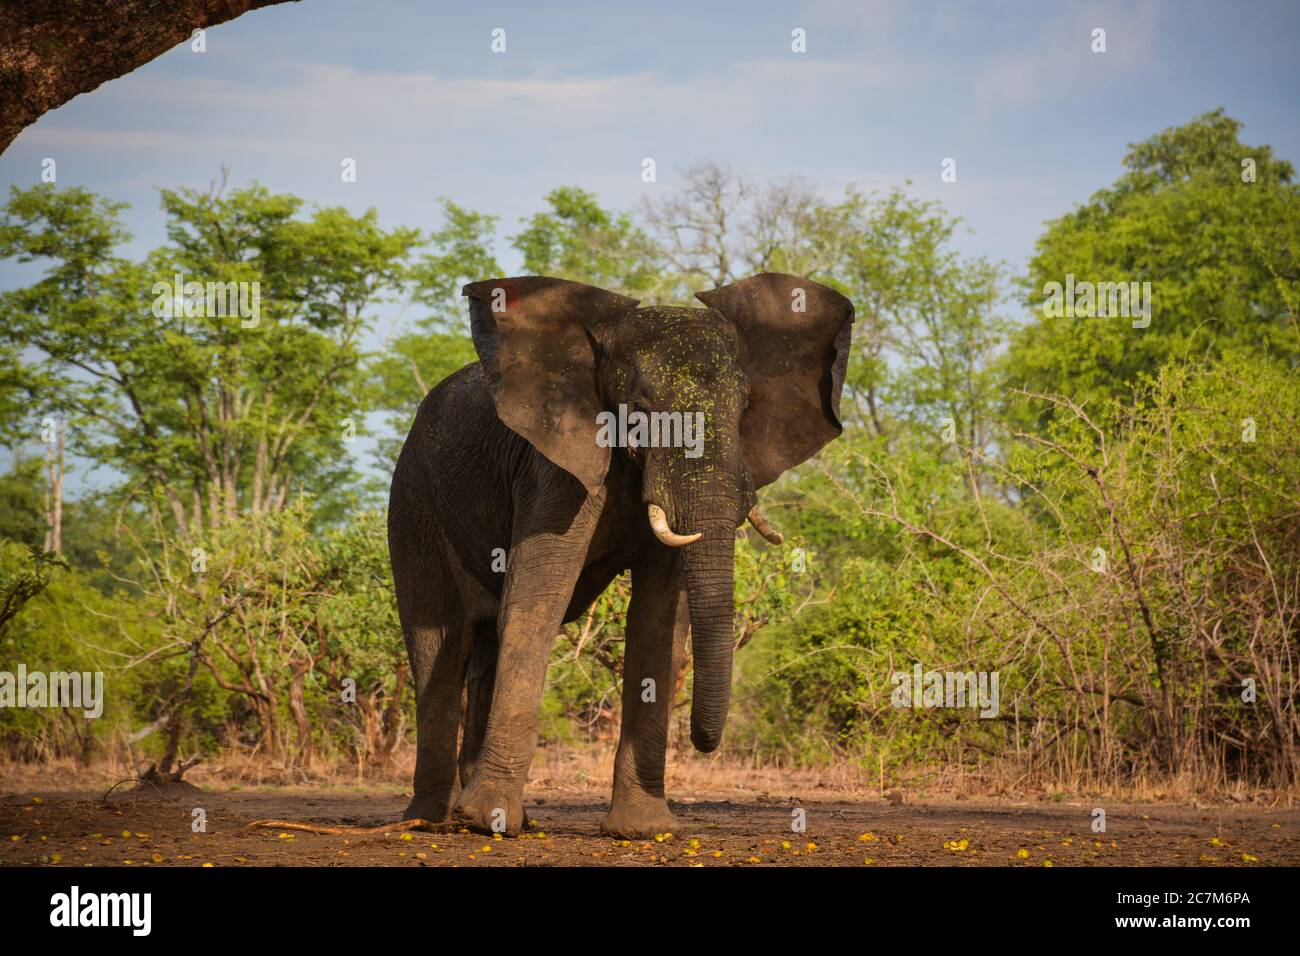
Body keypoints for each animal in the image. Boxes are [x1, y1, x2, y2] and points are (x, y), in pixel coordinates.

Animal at [387, 272, 854, 839]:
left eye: (744, 407)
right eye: (643, 410)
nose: (704, 741)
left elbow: (659, 619)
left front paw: (644, 829)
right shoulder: (553, 466)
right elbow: (538, 599)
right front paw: (490, 821)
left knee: (483, 647)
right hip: (412, 501)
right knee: (439, 642)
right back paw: (432, 820)